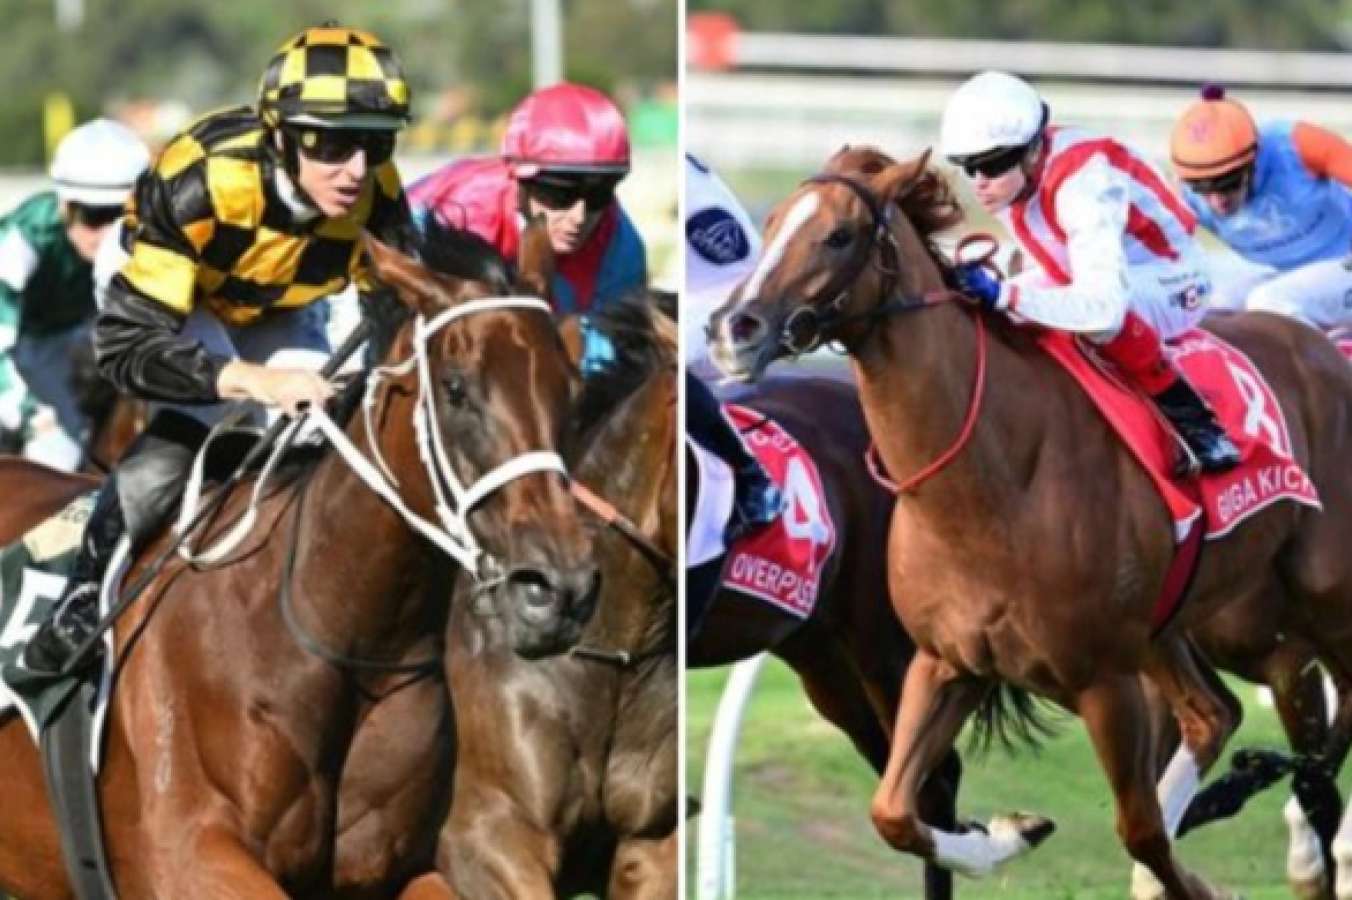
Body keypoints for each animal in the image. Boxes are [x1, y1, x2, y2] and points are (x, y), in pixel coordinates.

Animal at [0, 216, 599, 899]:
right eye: (456, 389)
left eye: (573, 390)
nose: (558, 589)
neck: (337, 632)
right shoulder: (187, 856)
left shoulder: (394, 868)